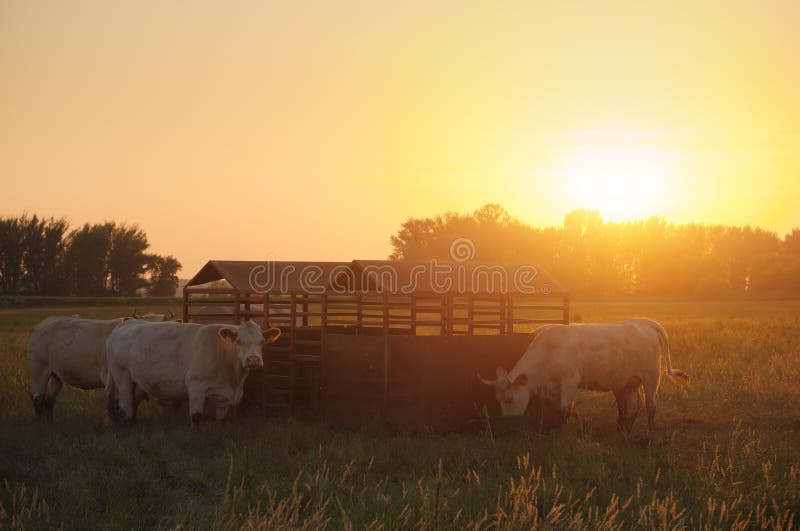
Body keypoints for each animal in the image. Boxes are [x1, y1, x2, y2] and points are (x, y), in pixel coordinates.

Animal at [27, 312, 171, 419]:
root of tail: (41, 324)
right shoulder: (111, 378)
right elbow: (115, 404)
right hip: (39, 370)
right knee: (38, 399)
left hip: (56, 376)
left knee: (49, 401)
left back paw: (50, 423)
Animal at [105, 320, 281, 424]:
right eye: (239, 341)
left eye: (262, 342)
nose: (253, 360)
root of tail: (125, 324)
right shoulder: (196, 386)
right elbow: (196, 418)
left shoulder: (225, 397)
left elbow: (220, 420)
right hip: (122, 376)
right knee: (126, 404)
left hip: (138, 383)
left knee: (132, 404)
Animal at [480, 318, 689, 432]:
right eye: (497, 399)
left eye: (510, 397)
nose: (508, 423)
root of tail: (644, 322)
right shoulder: (551, 388)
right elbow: (551, 409)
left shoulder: (570, 381)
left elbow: (564, 410)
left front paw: (562, 433)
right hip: (629, 381)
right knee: (634, 404)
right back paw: (625, 430)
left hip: (651, 378)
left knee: (651, 405)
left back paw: (649, 433)